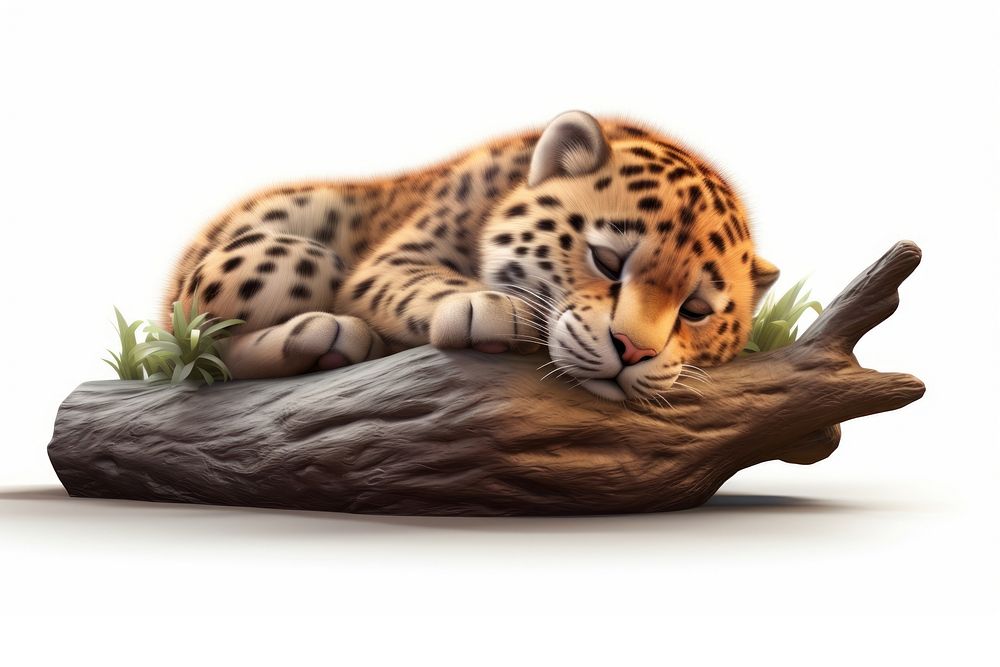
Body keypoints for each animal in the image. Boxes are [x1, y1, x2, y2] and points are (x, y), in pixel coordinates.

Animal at [164, 111, 779, 402]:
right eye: (607, 261)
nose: (633, 351)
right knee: (206, 357)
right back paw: (325, 336)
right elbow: (418, 284)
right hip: (285, 253)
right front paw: (492, 310)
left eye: (695, 311)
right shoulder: (390, 261)